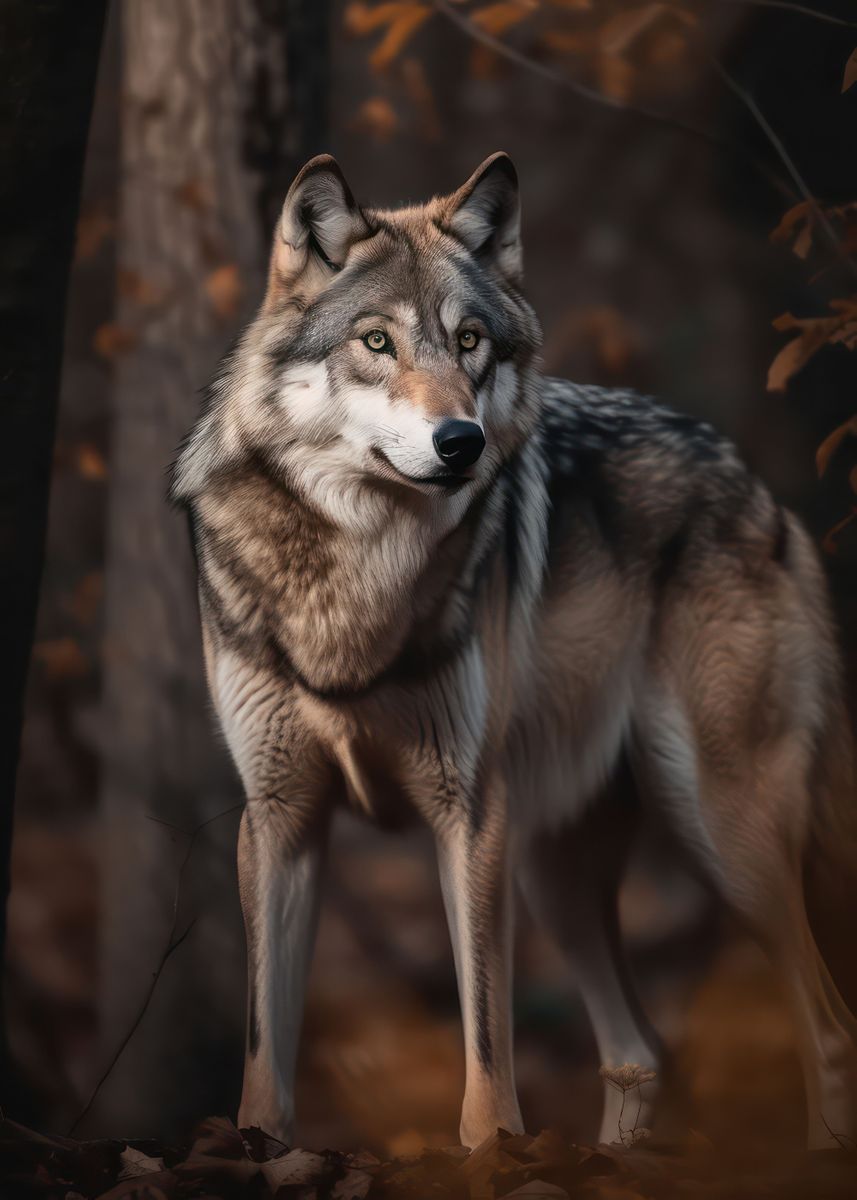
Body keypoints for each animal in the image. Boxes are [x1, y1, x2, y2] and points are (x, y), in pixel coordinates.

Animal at [171, 152, 857, 1150]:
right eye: (376, 342)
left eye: (469, 343)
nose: (461, 441)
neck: (355, 576)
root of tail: (763, 496)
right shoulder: (278, 817)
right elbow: (268, 1048)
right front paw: (259, 1147)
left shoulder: (468, 812)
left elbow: (487, 1041)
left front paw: (492, 1152)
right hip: (557, 874)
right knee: (640, 1049)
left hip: (716, 828)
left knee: (828, 1030)